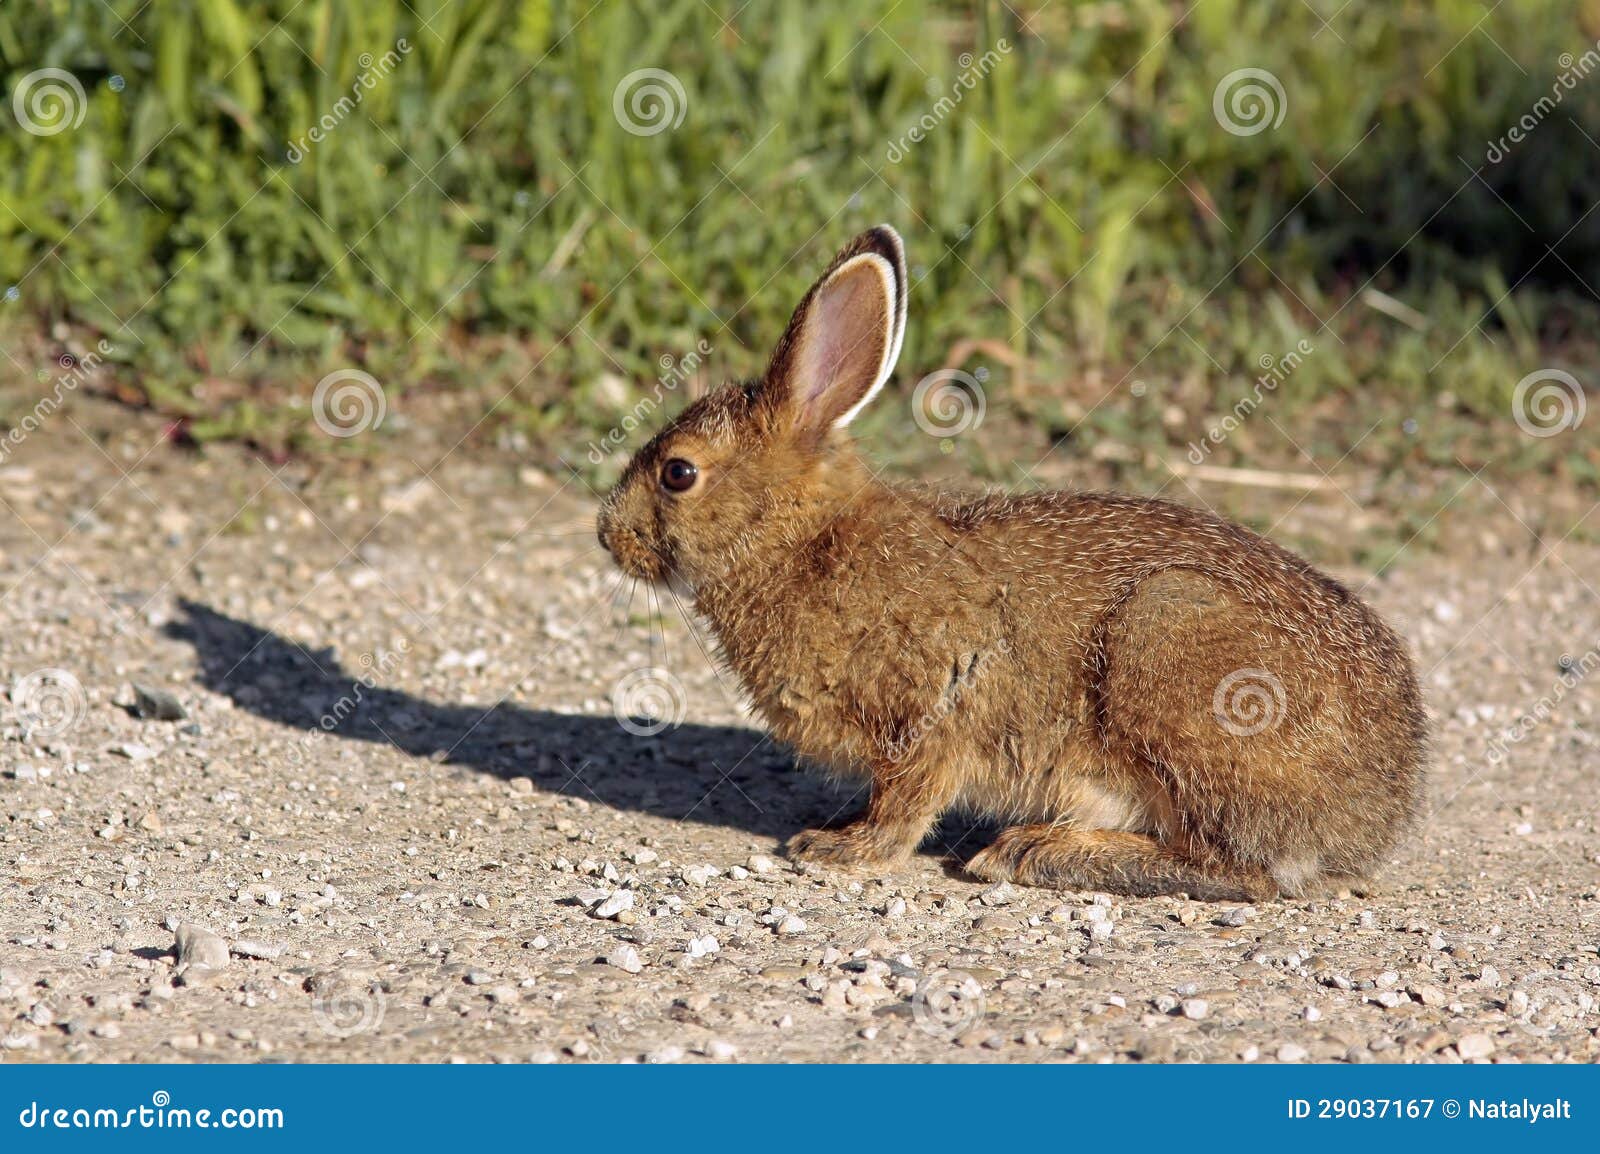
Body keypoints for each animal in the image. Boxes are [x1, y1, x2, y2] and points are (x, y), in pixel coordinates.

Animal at [597, 225, 1427, 901]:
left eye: (678, 473)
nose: (608, 535)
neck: (800, 541)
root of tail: (1379, 808)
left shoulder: (935, 710)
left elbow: (909, 800)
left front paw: (841, 850)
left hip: (1176, 645)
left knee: (1241, 868)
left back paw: (1033, 853)